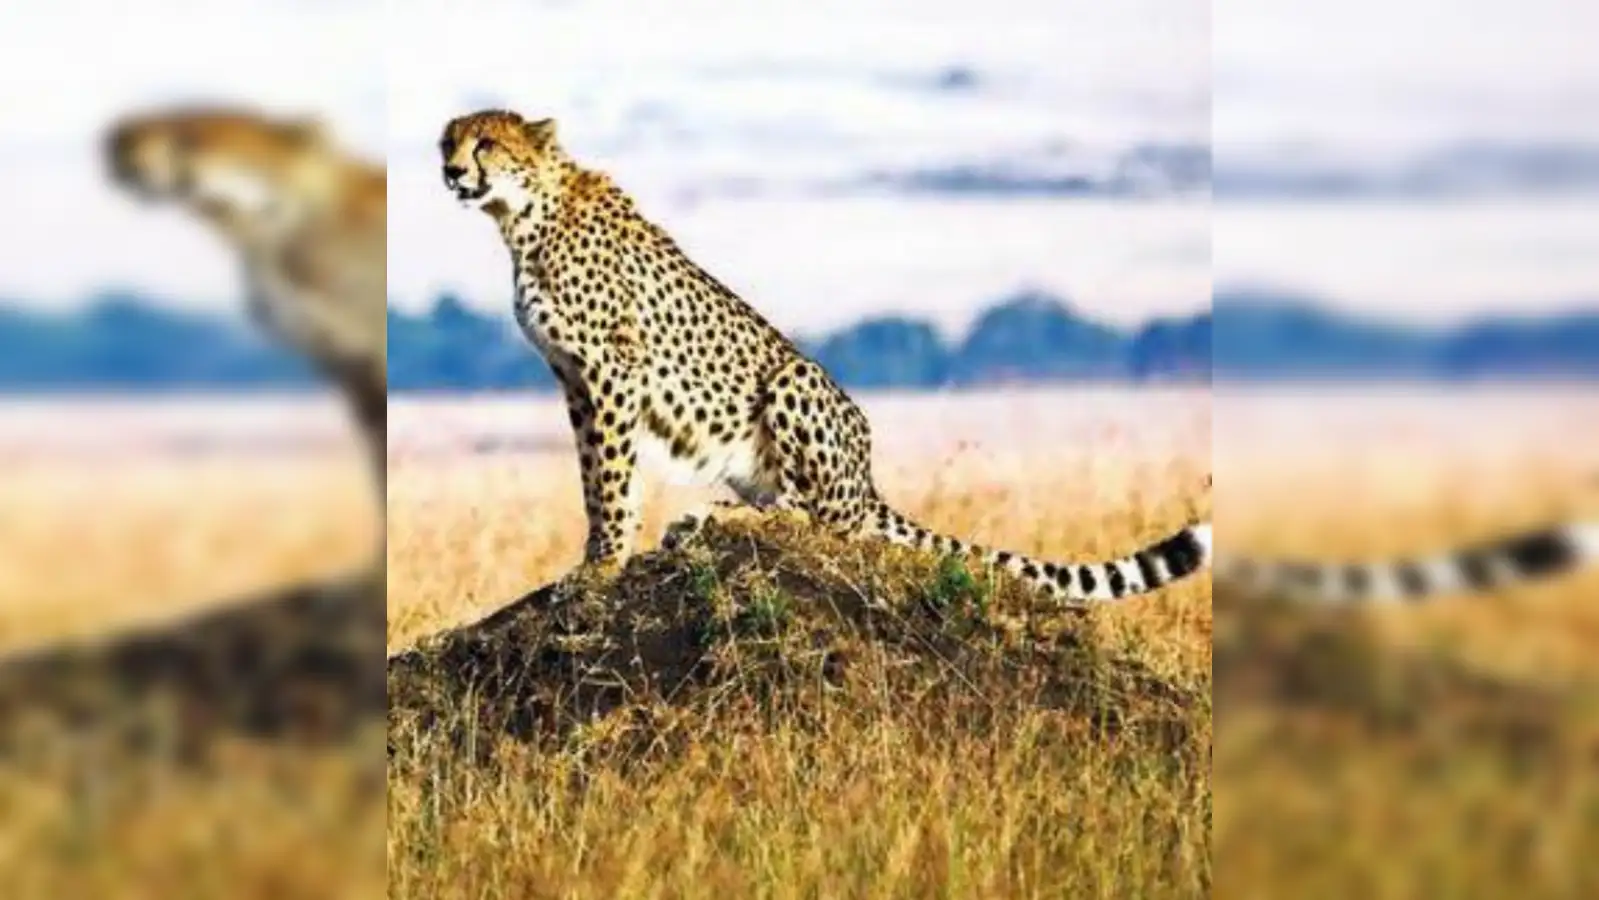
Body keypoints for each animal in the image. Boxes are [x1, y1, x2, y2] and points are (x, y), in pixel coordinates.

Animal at [439, 108, 1212, 603]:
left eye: (486, 143)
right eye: (448, 141)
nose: (449, 172)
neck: (521, 216)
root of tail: (868, 481)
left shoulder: (611, 370)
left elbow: (610, 477)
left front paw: (601, 564)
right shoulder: (574, 379)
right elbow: (596, 475)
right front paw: (602, 552)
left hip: (794, 378)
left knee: (823, 522)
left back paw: (711, 518)